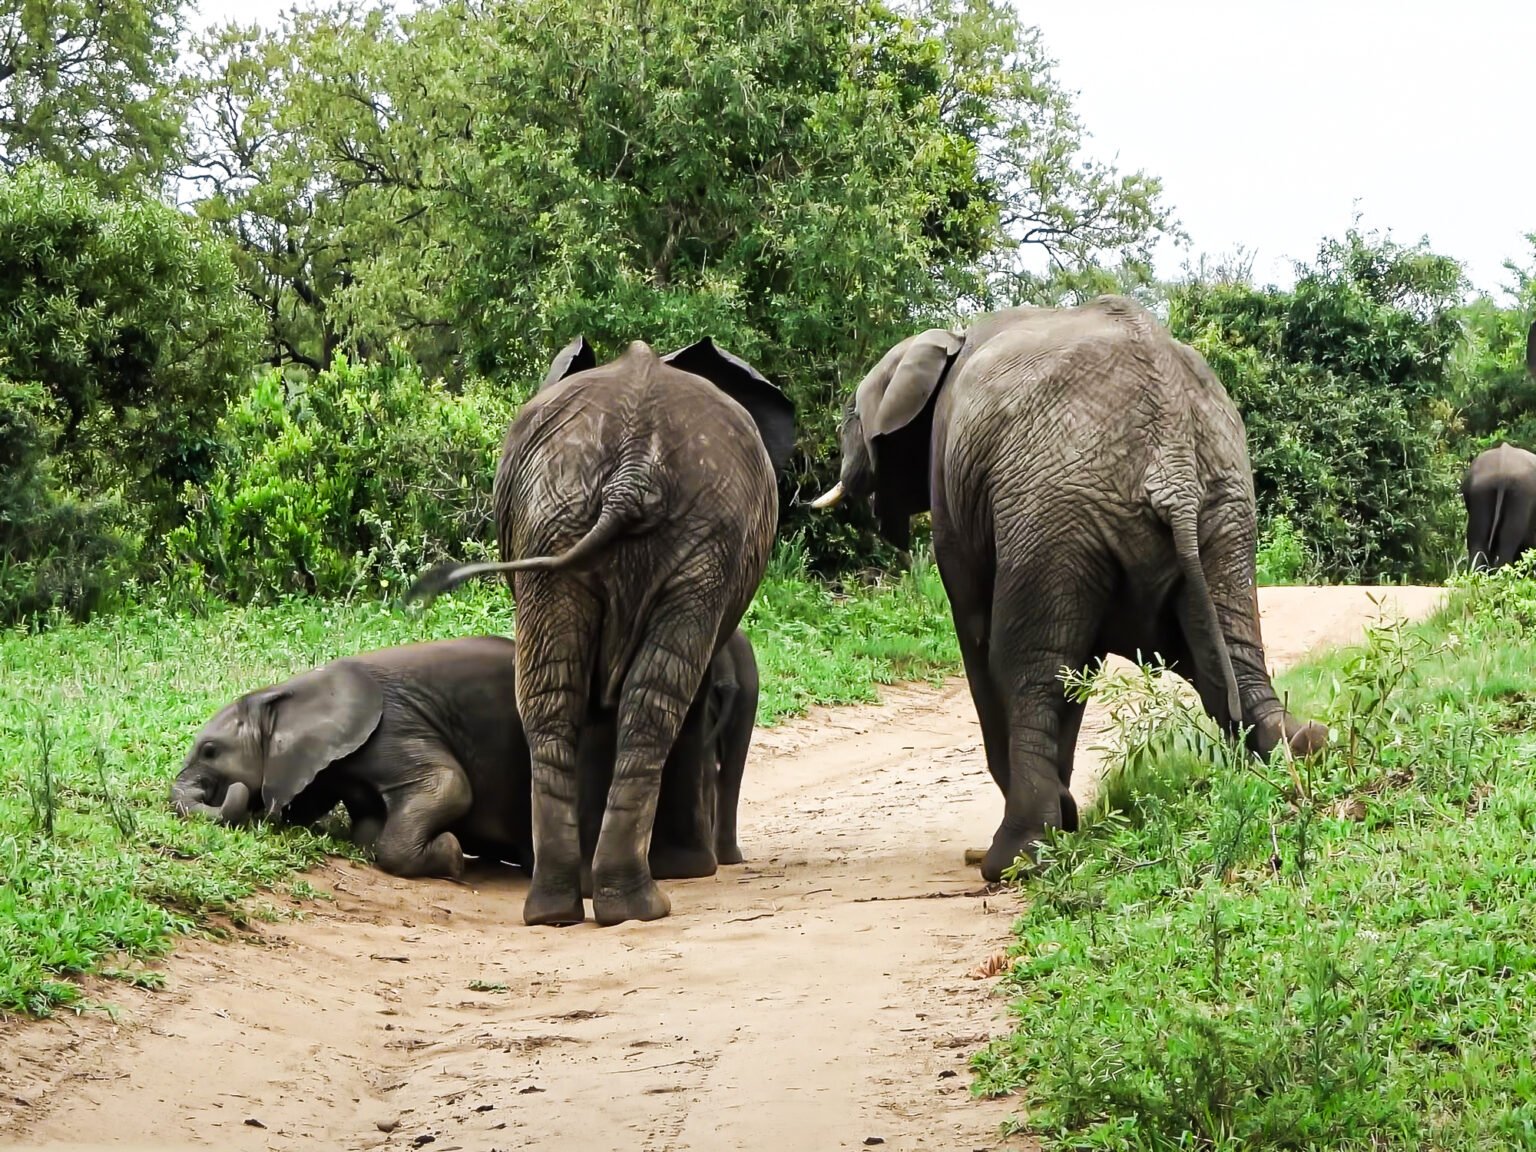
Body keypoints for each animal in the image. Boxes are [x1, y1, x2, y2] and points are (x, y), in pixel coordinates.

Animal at [170, 631, 761, 881]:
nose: (230, 795)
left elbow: (449, 786)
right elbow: (364, 825)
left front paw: (451, 857)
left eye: (210, 750)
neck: (290, 689)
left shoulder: (396, 727)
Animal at [406, 337, 794, 926]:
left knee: (559, 697)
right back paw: (634, 899)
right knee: (646, 701)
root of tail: (633, 469)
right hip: (651, 532)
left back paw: (572, 905)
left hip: (573, 522)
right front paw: (687, 871)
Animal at [810, 296, 1327, 883]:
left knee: (1030, 667)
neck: (948, 341)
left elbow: (980, 635)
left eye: (850, 417)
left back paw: (1013, 858)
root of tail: (1170, 454)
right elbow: (1081, 669)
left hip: (1053, 513)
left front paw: (1063, 821)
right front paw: (1071, 818)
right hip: (1221, 503)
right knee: (1225, 652)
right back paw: (1308, 750)